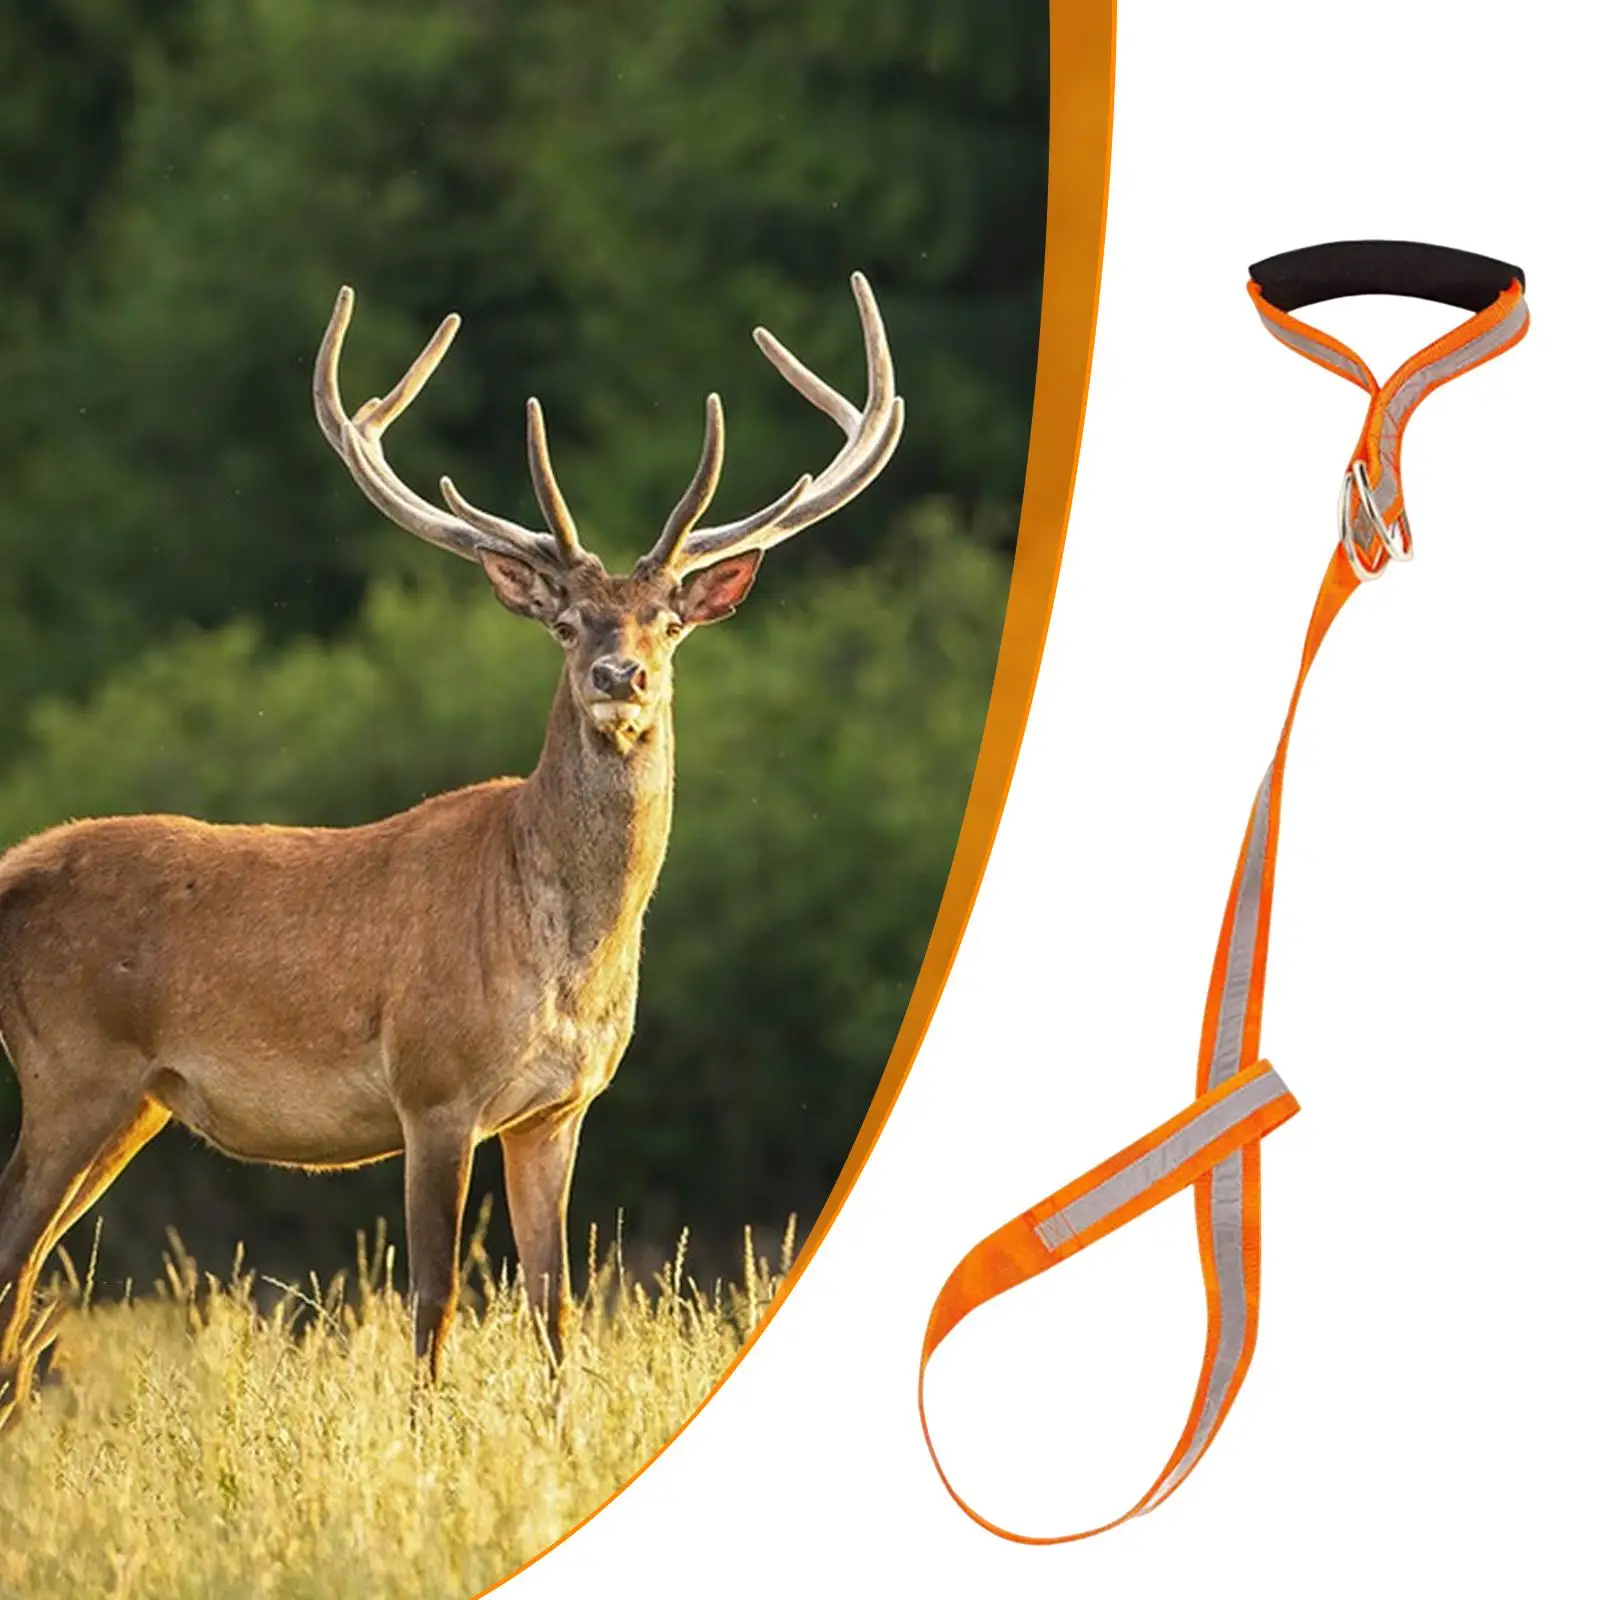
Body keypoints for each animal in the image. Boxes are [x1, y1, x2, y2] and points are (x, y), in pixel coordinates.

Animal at [0, 272, 903, 1422]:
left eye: (666, 621)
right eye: (566, 621)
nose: (620, 676)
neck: (561, 955)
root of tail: (11, 871)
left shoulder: (559, 1108)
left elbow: (555, 1302)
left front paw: (562, 1429)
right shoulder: (432, 1088)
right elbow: (433, 1300)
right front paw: (423, 1433)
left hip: (132, 1102)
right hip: (72, 1067)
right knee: (13, 1258)